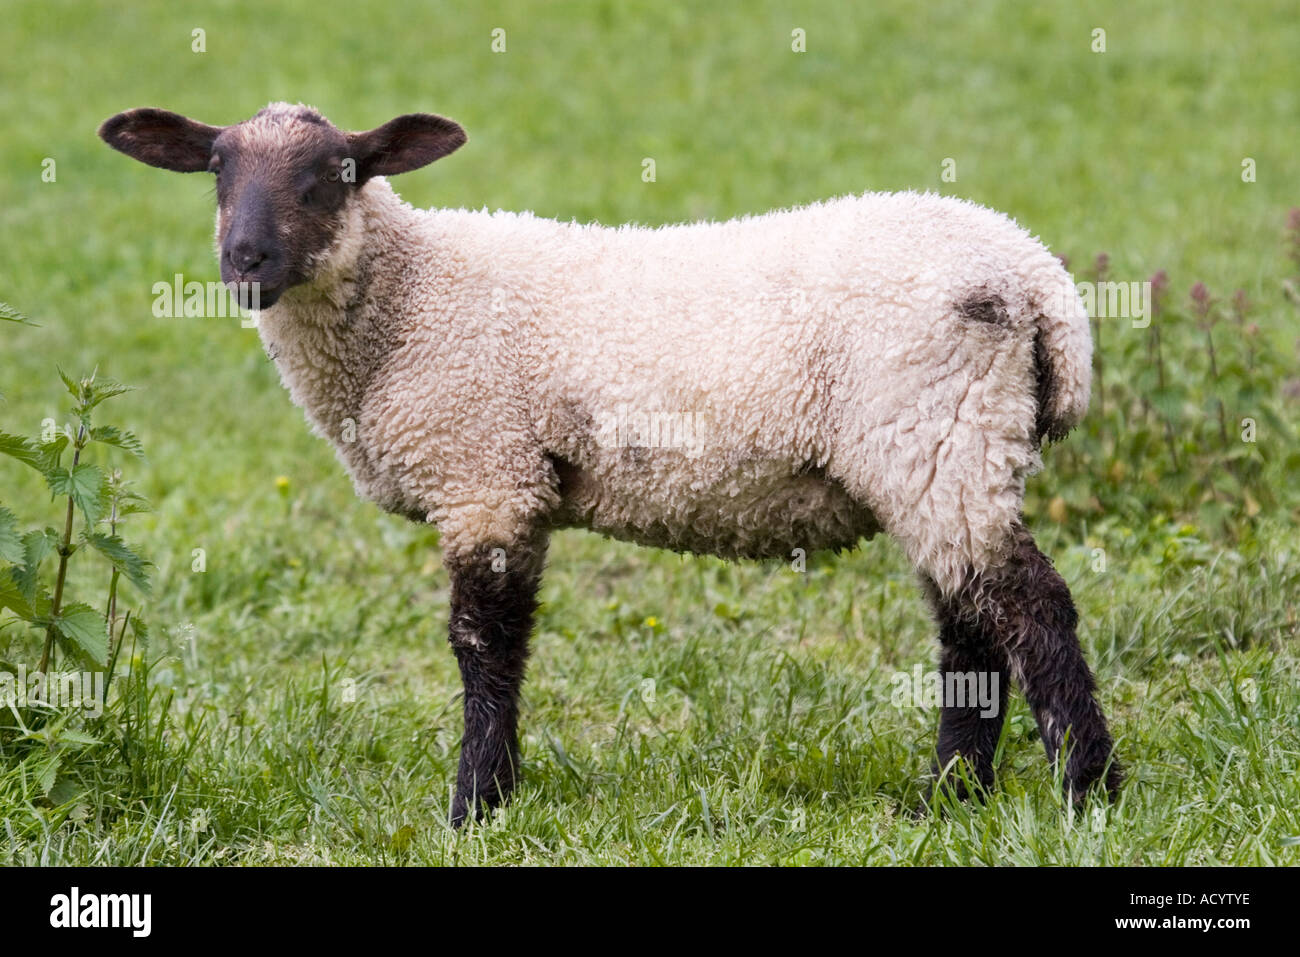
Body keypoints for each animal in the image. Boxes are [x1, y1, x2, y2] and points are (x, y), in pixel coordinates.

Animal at [99, 101, 1122, 824]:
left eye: (336, 172)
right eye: (217, 168)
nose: (245, 261)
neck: (409, 298)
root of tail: (1041, 282)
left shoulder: (485, 470)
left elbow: (484, 646)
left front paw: (473, 808)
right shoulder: (511, 481)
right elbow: (502, 645)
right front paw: (495, 796)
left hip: (938, 432)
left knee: (1030, 608)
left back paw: (1086, 792)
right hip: (943, 454)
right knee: (971, 623)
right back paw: (949, 798)